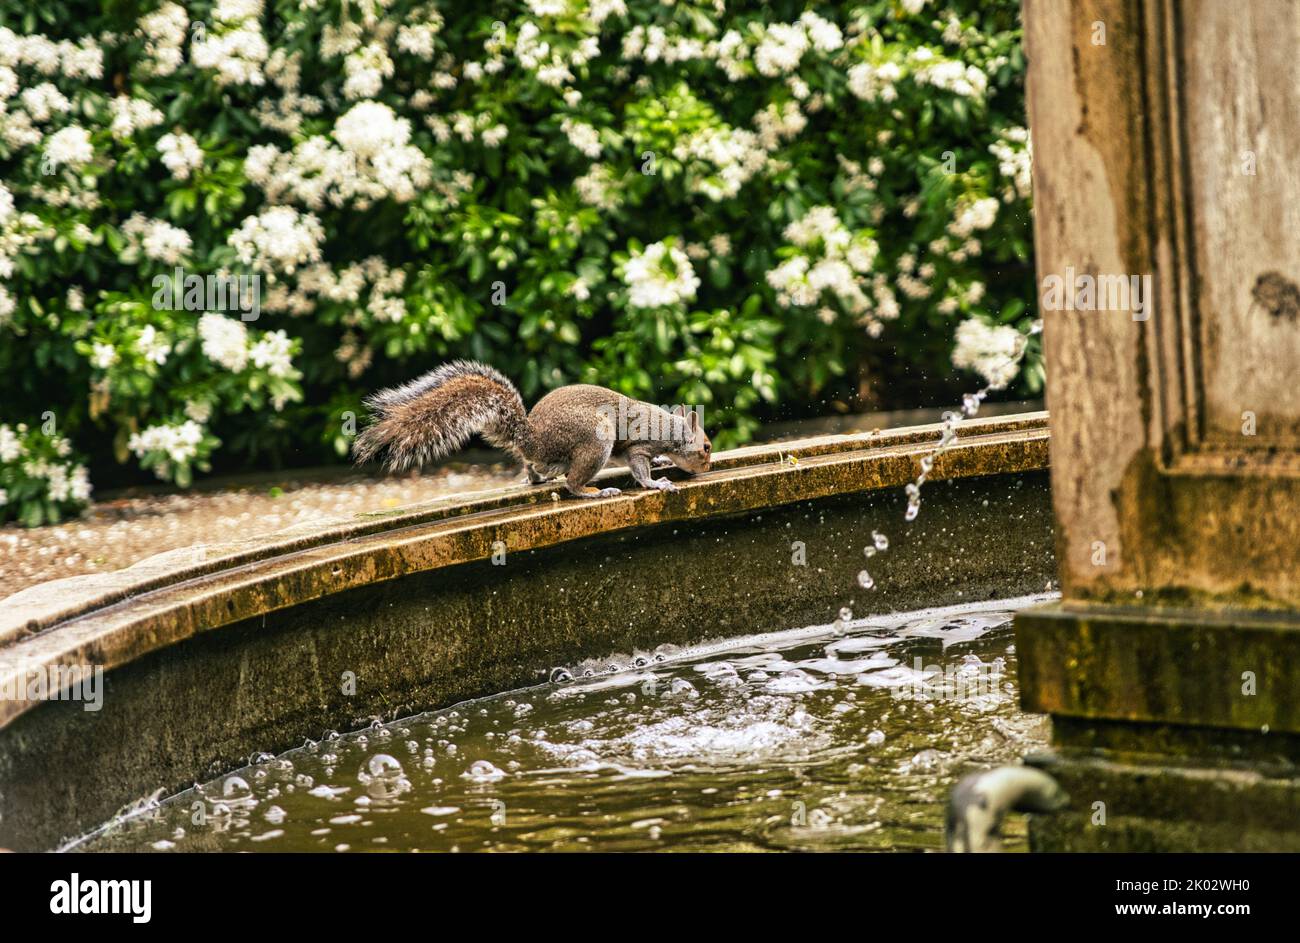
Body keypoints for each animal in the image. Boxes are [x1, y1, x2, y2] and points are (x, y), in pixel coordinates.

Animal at [353, 360, 712, 498]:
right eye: (706, 448)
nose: (707, 467)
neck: (672, 430)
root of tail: (531, 438)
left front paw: (663, 463)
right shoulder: (639, 446)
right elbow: (639, 468)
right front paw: (657, 483)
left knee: (536, 468)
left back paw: (536, 478)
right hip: (595, 441)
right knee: (571, 483)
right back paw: (595, 491)